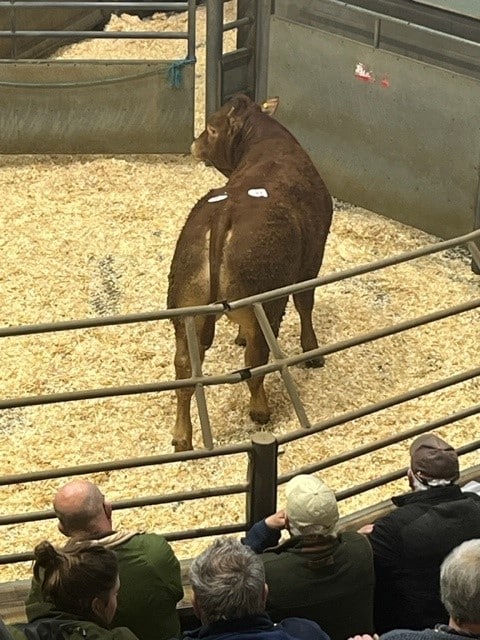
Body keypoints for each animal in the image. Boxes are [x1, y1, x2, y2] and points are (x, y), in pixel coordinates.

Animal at [167, 94, 333, 451]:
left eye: (212, 129)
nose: (194, 143)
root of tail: (225, 211)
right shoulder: (312, 258)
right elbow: (305, 303)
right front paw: (312, 352)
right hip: (263, 303)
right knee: (255, 360)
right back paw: (260, 410)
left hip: (185, 307)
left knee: (184, 368)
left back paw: (182, 436)